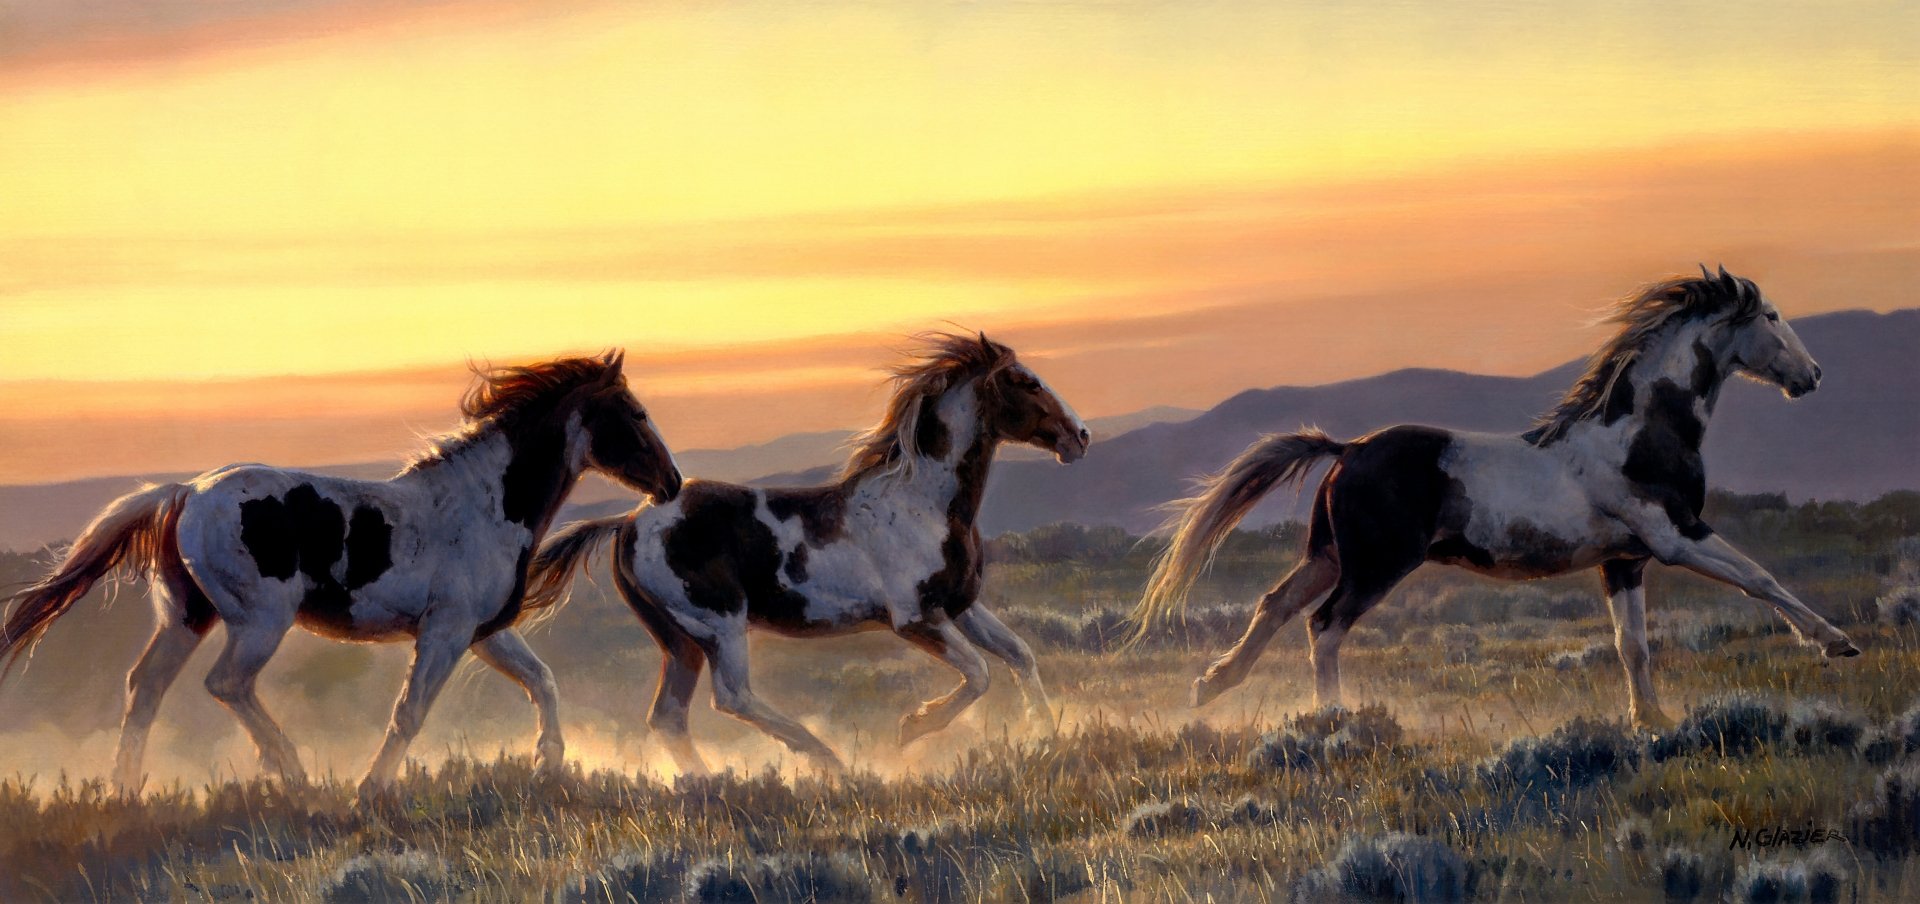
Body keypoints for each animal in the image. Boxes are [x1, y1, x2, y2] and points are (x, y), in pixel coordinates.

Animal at [0, 352, 681, 799]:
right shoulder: (445, 633)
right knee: (226, 684)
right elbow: (410, 712)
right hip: (259, 622)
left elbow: (542, 681)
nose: (672, 483)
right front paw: (368, 790)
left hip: (187, 616)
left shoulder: (482, 632)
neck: (486, 503)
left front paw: (551, 763)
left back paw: (125, 792)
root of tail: (186, 491)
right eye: (634, 412)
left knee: (145, 688)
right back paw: (295, 775)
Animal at [525, 332, 1089, 773]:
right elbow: (978, 672)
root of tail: (628, 523)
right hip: (719, 625)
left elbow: (1019, 655)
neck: (922, 503)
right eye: (1026, 381)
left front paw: (1046, 737)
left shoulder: (961, 606)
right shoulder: (914, 619)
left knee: (669, 718)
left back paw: (713, 783)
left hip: (679, 641)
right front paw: (913, 727)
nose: (1080, 436)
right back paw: (827, 758)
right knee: (731, 697)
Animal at [1130, 266, 1857, 729]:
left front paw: (1649, 717)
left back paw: (1211, 685)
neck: (1636, 434)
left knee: (1274, 605)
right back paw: (1331, 718)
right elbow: (1759, 577)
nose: (1814, 375)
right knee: (1324, 626)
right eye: (1772, 316)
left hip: (1330, 555)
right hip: (1376, 566)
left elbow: (1632, 645)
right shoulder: (1676, 535)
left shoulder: (1624, 561)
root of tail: (1346, 450)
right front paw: (1835, 643)